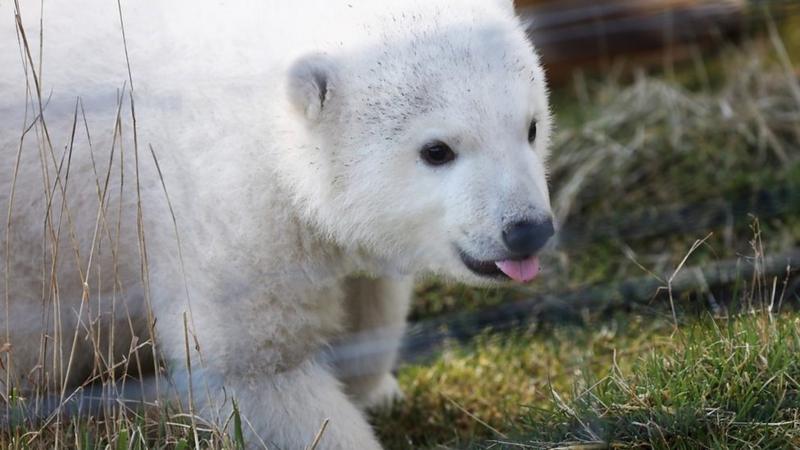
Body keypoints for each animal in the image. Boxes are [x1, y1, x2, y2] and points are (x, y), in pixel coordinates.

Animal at [0, 0, 554, 448]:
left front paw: (379, 390)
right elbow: (260, 367)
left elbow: (365, 304)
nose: (527, 229)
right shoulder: (228, 209)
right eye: (437, 150)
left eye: (530, 127)